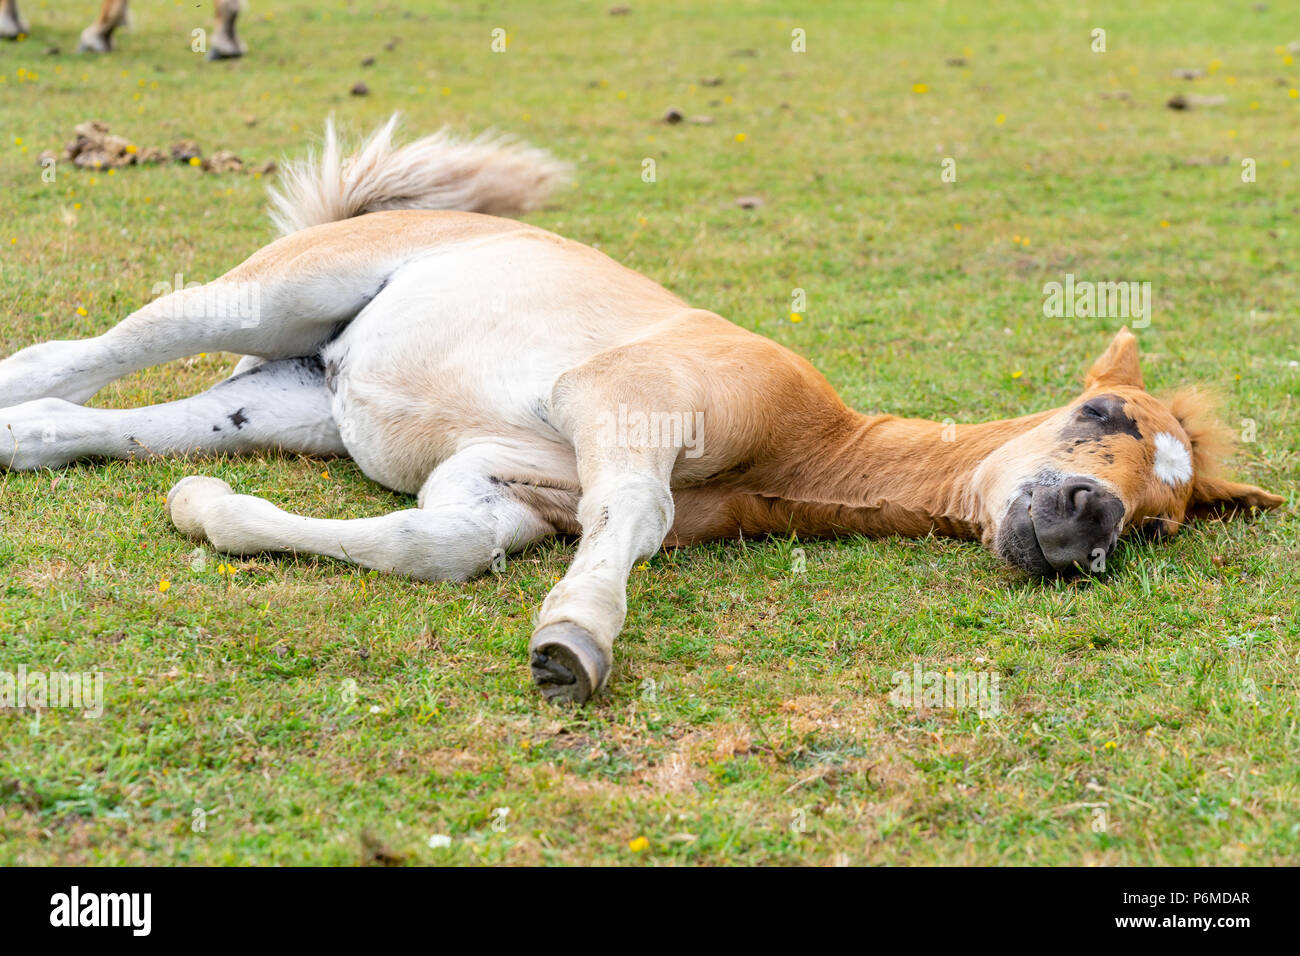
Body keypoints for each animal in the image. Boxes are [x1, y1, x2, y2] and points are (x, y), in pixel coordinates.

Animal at [0, 118, 1282, 704]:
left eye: (1163, 519)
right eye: (1101, 413)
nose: (1088, 522)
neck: (806, 449)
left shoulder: (496, 489)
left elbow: (437, 540)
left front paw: (204, 512)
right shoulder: (622, 400)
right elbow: (636, 512)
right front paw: (574, 640)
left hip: (287, 395)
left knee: (98, 419)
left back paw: (49, 441)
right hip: (275, 295)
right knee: (84, 348)